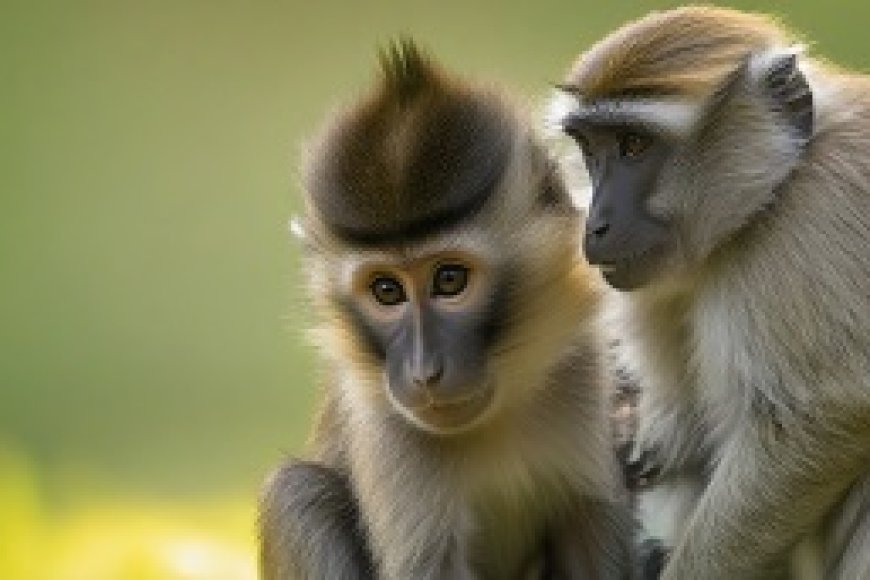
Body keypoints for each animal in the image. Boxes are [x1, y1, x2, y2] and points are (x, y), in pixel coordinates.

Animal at [258, 40, 634, 580]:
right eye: (387, 291)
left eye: (450, 280)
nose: (423, 371)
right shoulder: (387, 429)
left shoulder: (581, 373)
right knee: (297, 495)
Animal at [551, 6, 870, 579]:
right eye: (591, 148)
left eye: (634, 144)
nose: (597, 224)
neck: (778, 186)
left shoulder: (808, 225)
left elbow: (824, 419)